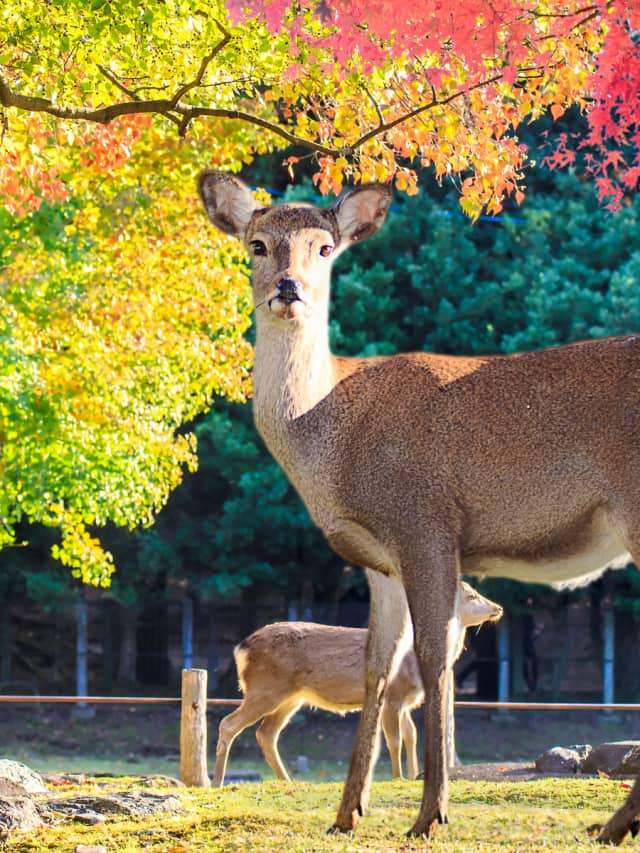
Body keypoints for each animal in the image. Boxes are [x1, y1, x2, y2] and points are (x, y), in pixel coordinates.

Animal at [212, 576, 502, 787]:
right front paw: (397, 777)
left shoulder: (406, 701)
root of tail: (241, 649)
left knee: (266, 733)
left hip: (291, 697)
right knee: (229, 723)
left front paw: (412, 775)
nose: (498, 608)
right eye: (472, 596)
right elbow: (394, 739)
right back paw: (216, 782)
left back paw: (287, 781)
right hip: (265, 689)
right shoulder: (393, 695)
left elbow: (411, 735)